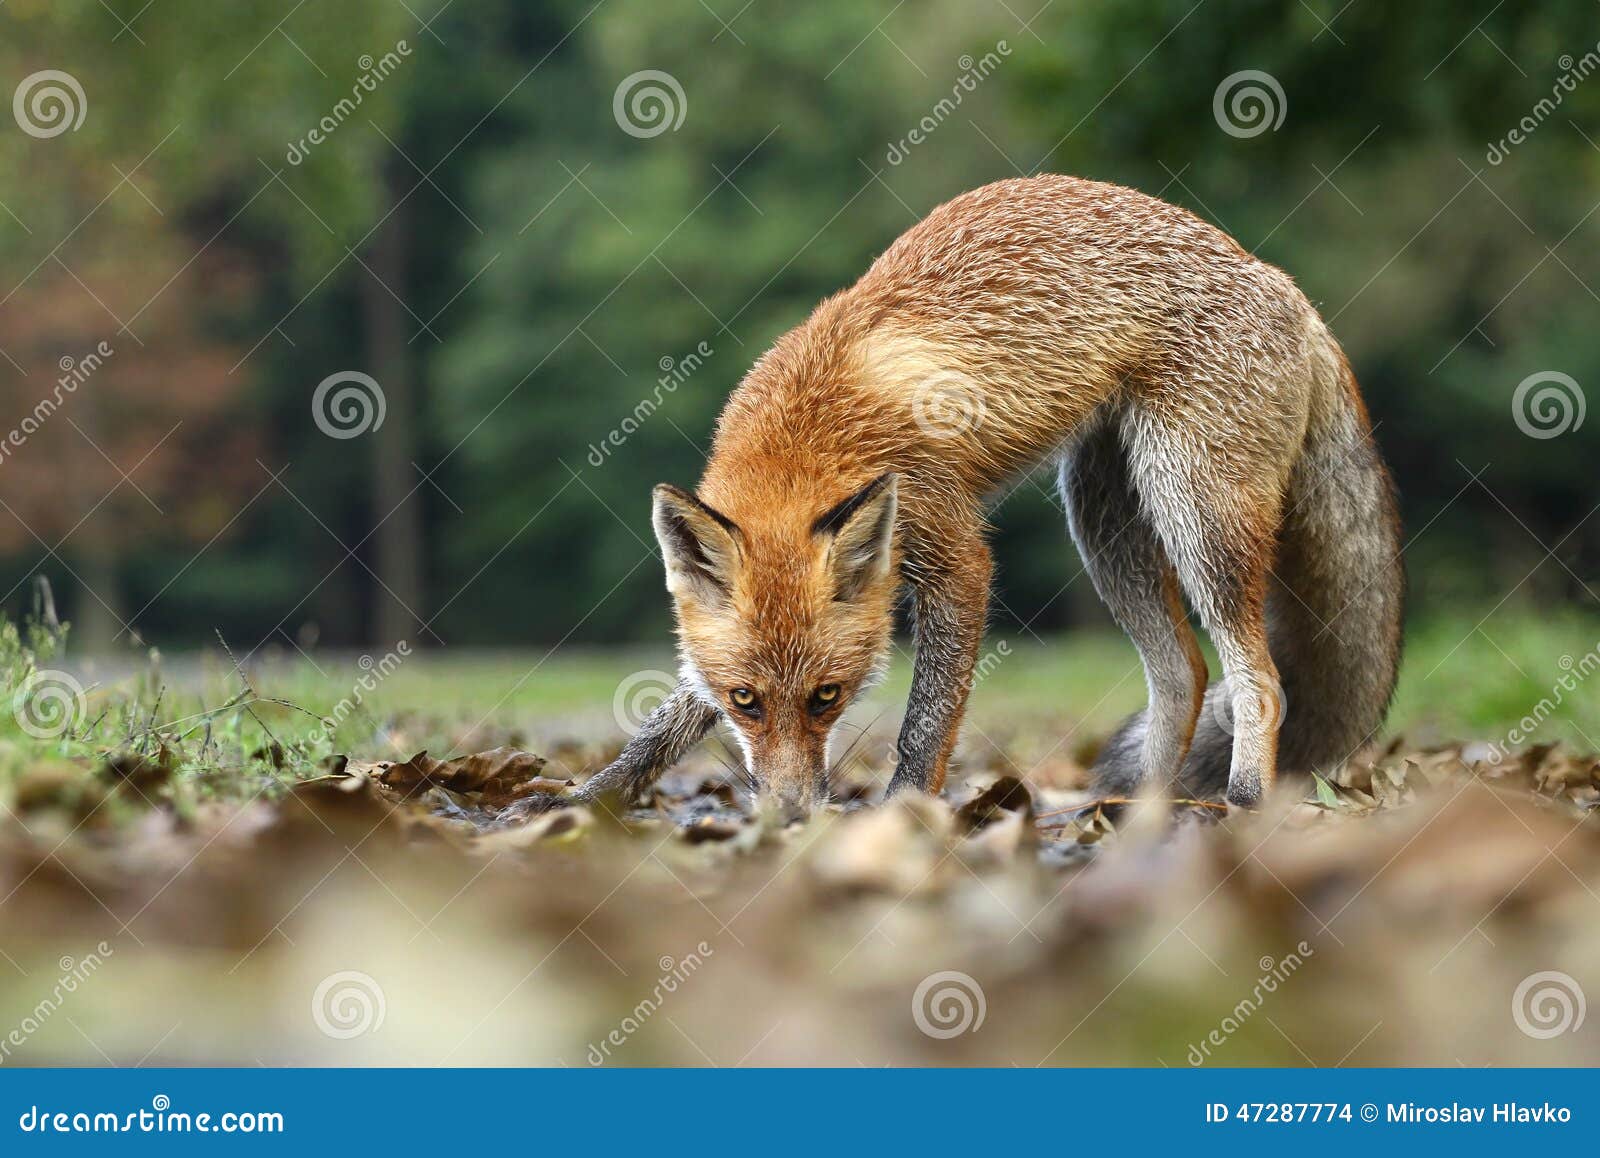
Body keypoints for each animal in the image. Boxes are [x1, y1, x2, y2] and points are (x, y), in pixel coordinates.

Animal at [551, 174, 1403, 822]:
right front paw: (582, 803)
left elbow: (924, 728)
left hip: (1193, 511)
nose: (790, 818)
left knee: (1262, 682)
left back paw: (1242, 800)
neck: (814, 430)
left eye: (828, 697)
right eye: (745, 700)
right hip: (1103, 516)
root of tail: (1284, 284)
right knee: (1183, 674)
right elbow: (662, 728)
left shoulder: (953, 547)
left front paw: (900, 813)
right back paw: (1142, 810)